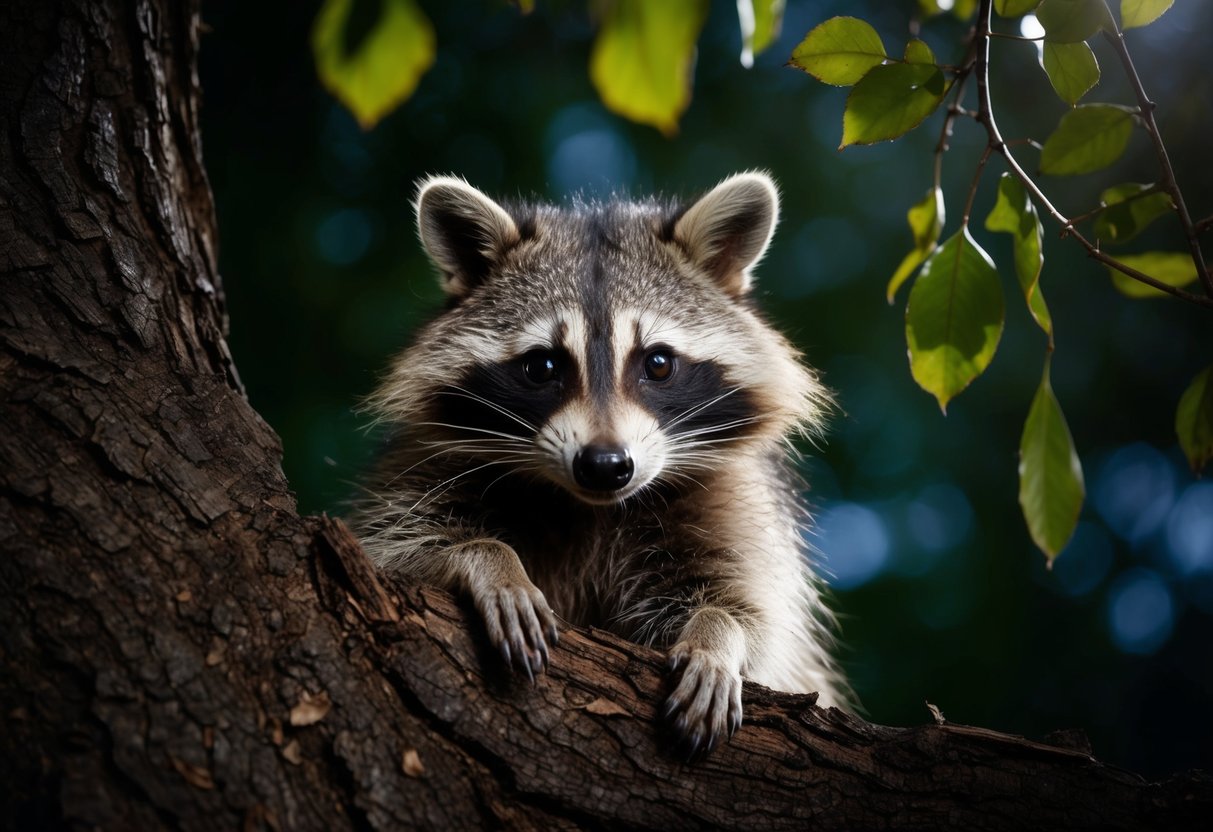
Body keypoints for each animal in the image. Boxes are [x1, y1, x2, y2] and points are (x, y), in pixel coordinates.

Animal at [349, 172, 849, 756]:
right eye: (542, 366)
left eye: (659, 363)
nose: (606, 465)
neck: (592, 507)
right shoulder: (424, 470)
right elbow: (392, 551)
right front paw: (489, 560)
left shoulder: (736, 503)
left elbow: (758, 616)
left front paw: (717, 632)